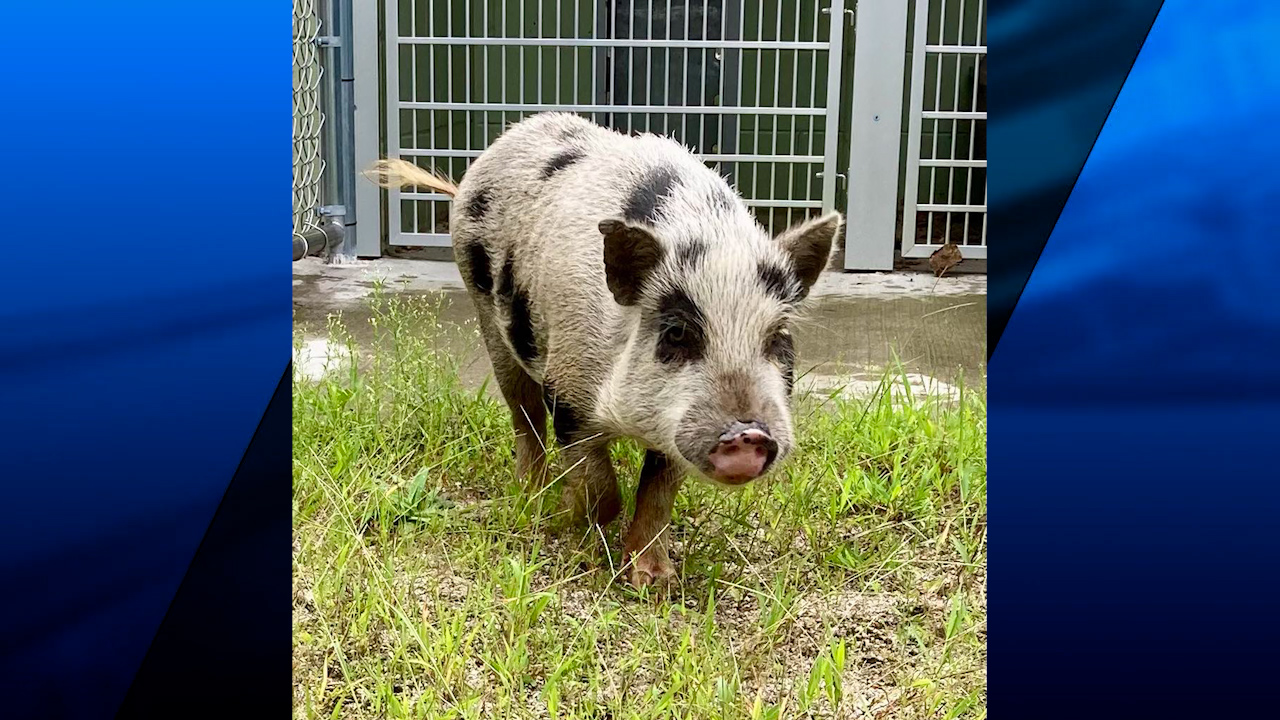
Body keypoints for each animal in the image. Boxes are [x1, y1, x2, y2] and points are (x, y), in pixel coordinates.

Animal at [365, 112, 842, 587]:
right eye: (676, 333)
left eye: (779, 335)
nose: (749, 433)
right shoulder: (567, 389)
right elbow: (599, 485)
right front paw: (571, 521)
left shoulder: (675, 426)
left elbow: (658, 491)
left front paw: (655, 582)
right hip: (488, 315)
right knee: (525, 418)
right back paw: (532, 497)